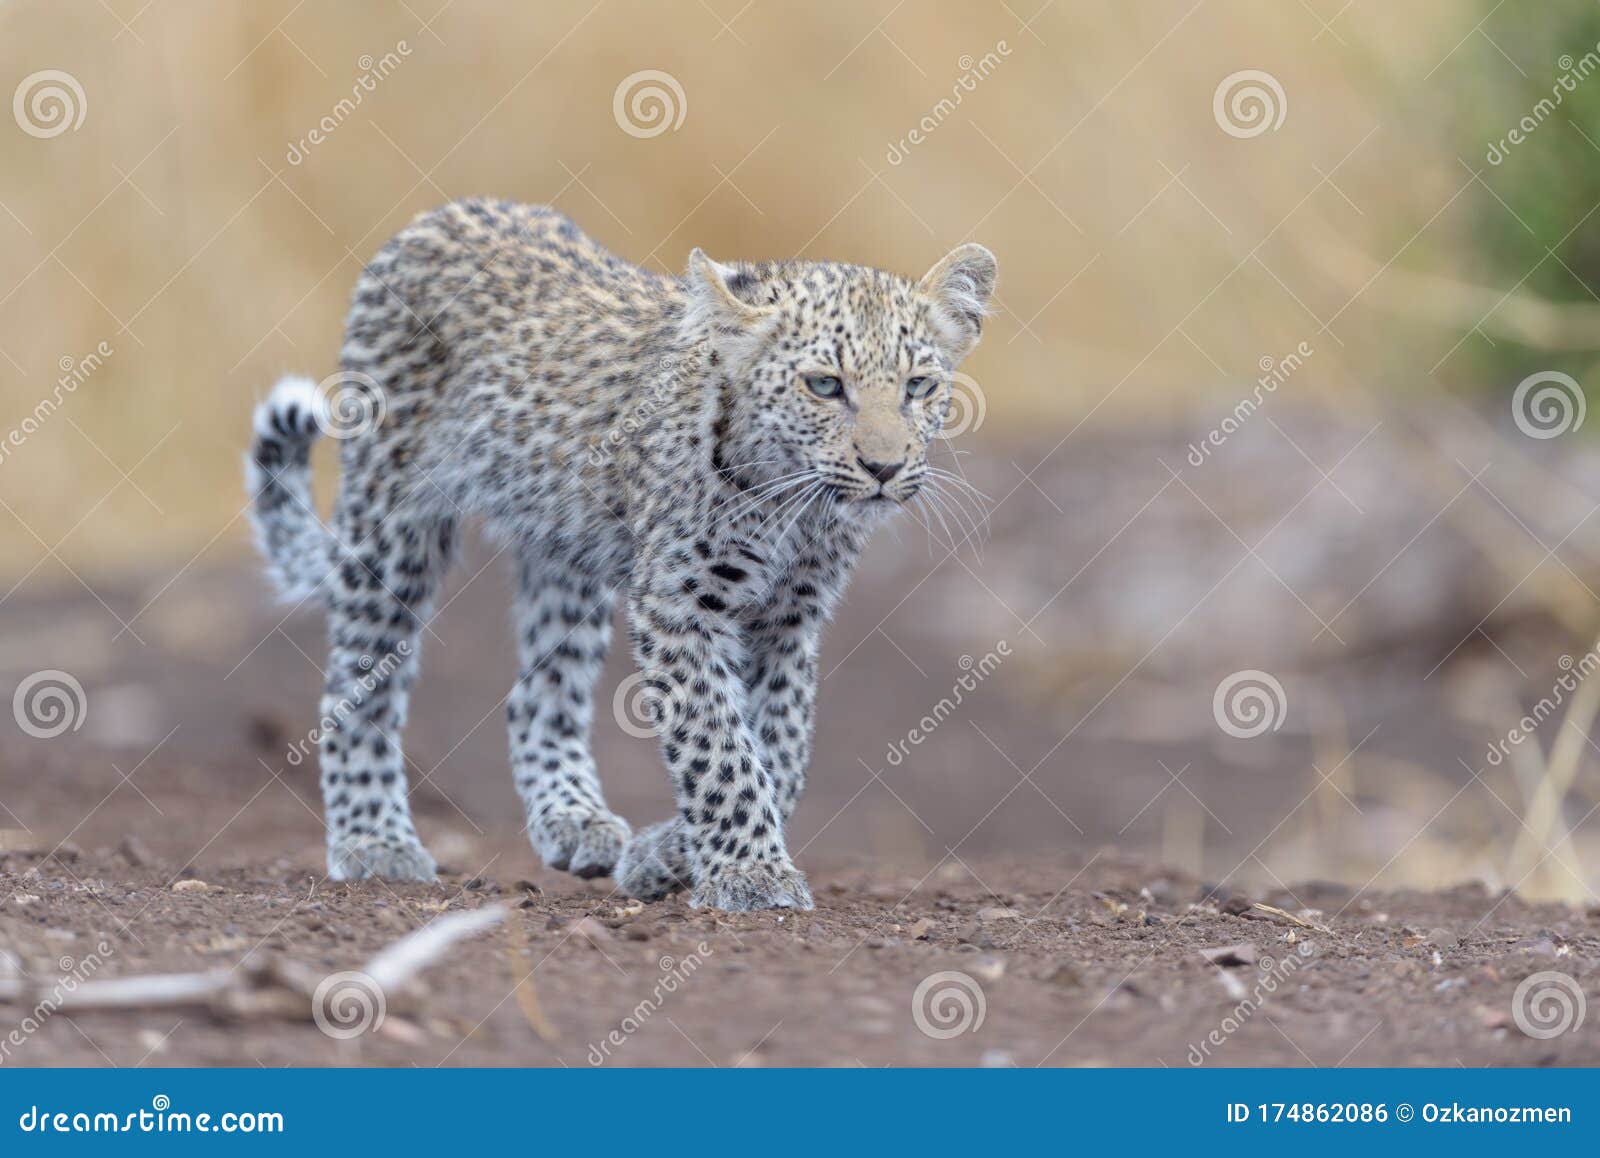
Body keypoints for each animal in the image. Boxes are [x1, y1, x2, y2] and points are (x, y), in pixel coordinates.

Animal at [245, 198, 996, 911]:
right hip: (393, 520)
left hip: (564, 547)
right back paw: (374, 839)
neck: (797, 509)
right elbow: (718, 745)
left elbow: (782, 750)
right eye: (824, 385)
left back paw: (572, 820)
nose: (883, 468)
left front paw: (671, 858)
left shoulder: (789, 620)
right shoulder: (681, 603)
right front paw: (748, 874)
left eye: (919, 387)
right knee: (360, 680)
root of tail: (438, 215)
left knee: (539, 692)